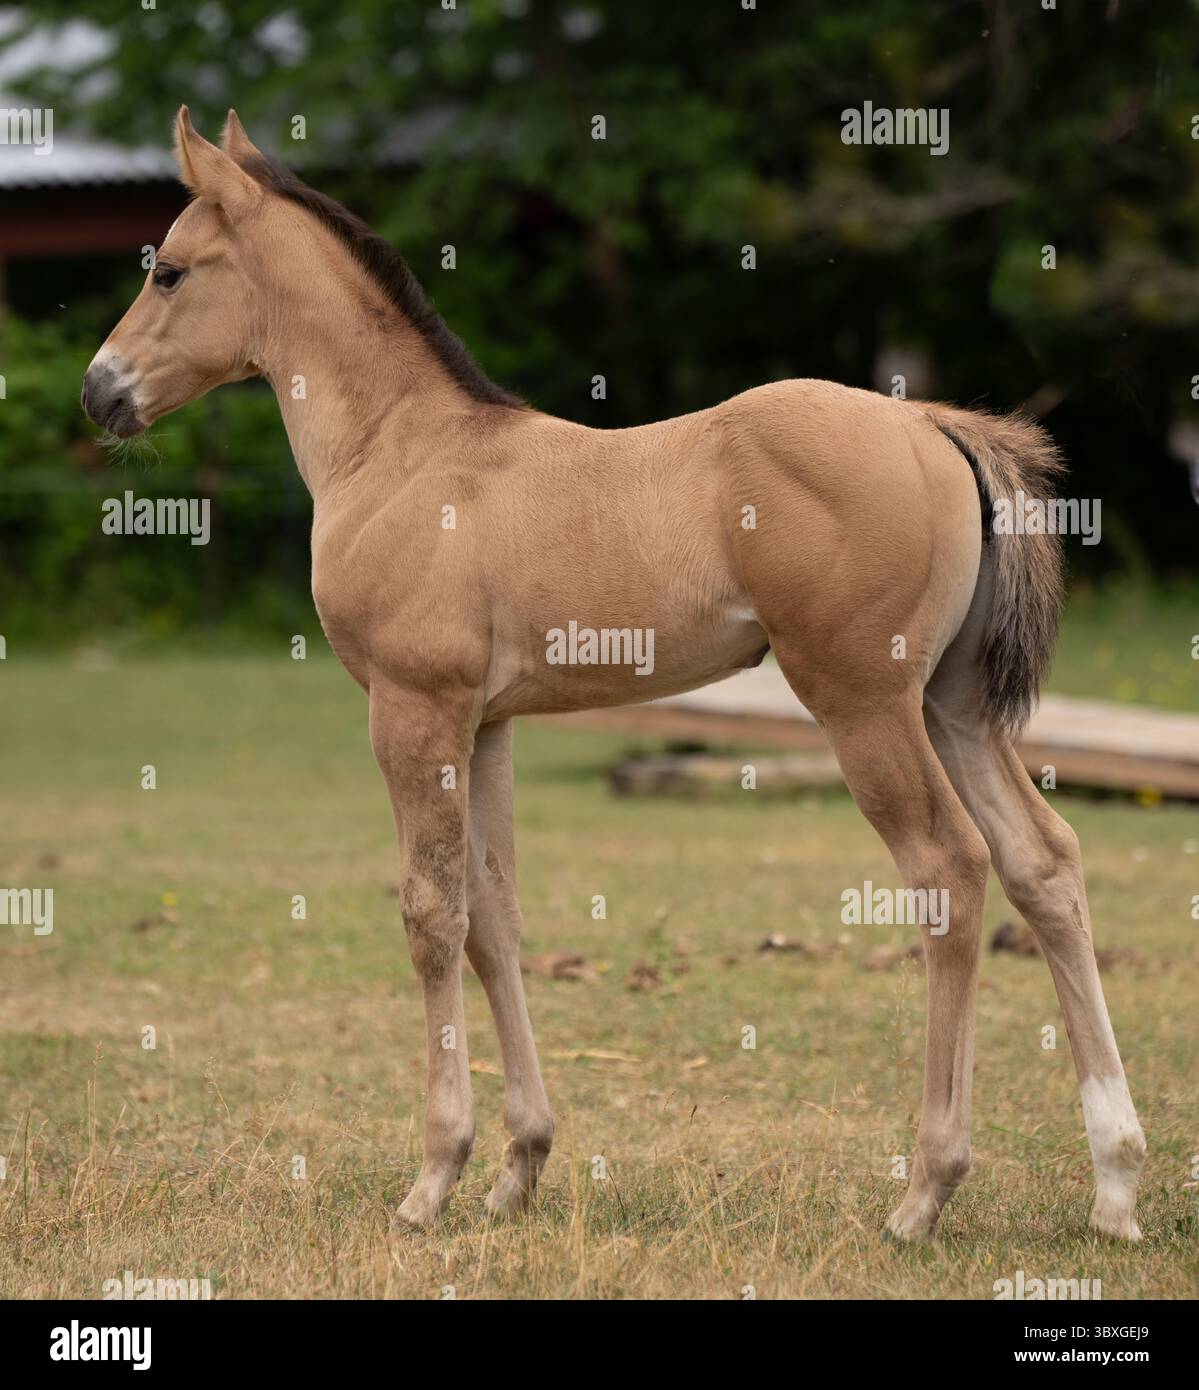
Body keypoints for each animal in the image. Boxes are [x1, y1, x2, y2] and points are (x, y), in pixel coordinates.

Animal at [81, 107, 1145, 1241]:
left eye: (170, 273)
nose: (100, 392)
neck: (400, 452)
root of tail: (931, 422)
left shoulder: (414, 711)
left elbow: (430, 915)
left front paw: (433, 1178)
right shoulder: (486, 723)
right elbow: (493, 917)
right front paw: (517, 1168)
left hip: (864, 702)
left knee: (947, 870)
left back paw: (923, 1192)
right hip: (953, 704)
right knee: (1042, 862)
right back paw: (1114, 1182)